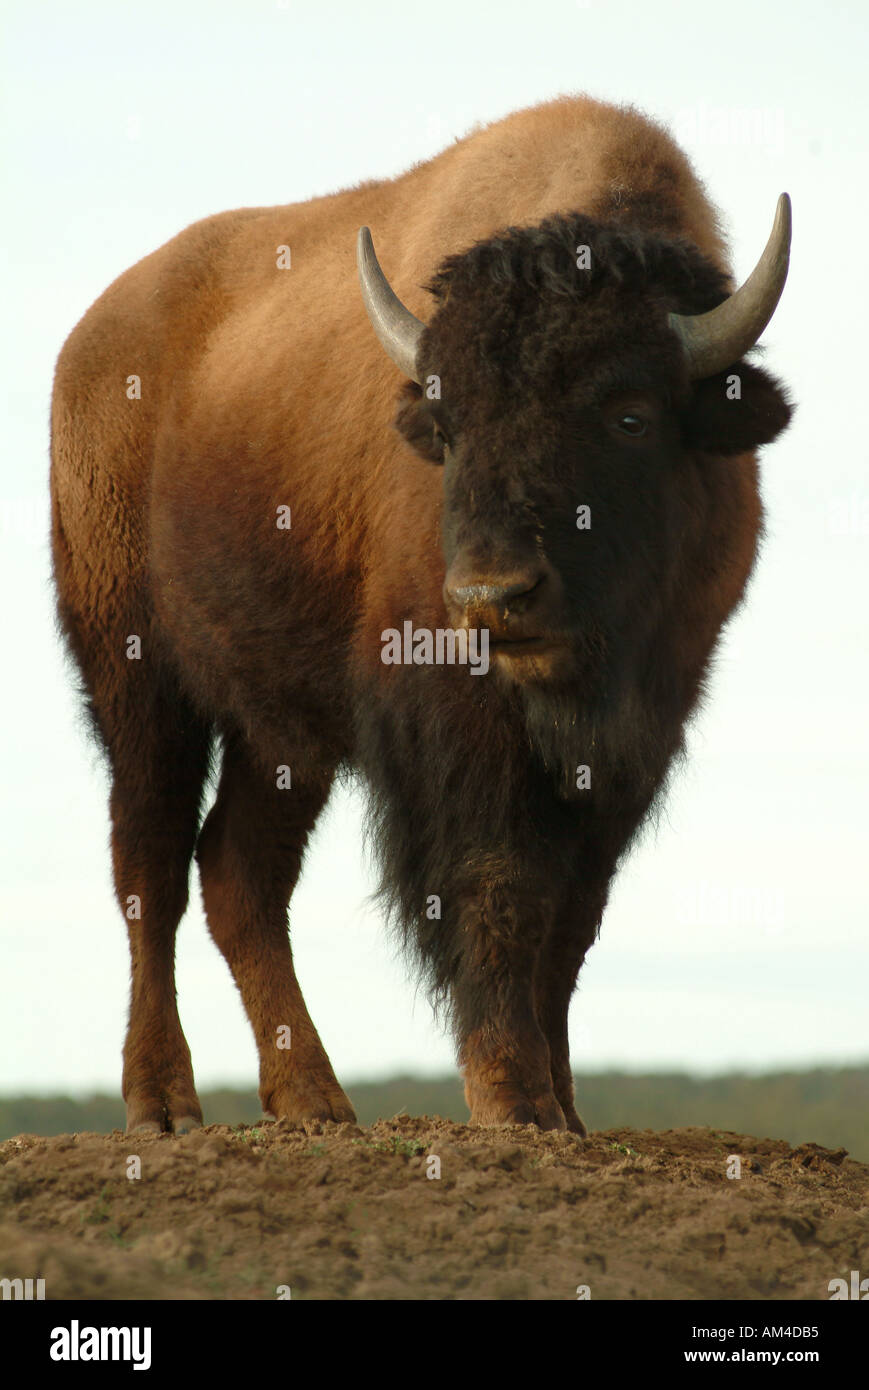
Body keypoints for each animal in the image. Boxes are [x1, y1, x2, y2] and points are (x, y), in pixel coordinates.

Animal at [50, 95, 792, 1134]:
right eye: (445, 430)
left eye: (630, 416)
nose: (492, 598)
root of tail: (90, 342)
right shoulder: (457, 720)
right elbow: (499, 888)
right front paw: (512, 1103)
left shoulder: (639, 732)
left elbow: (573, 917)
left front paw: (565, 1112)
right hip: (137, 680)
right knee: (148, 866)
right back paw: (164, 1104)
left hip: (281, 734)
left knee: (238, 874)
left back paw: (316, 1103)